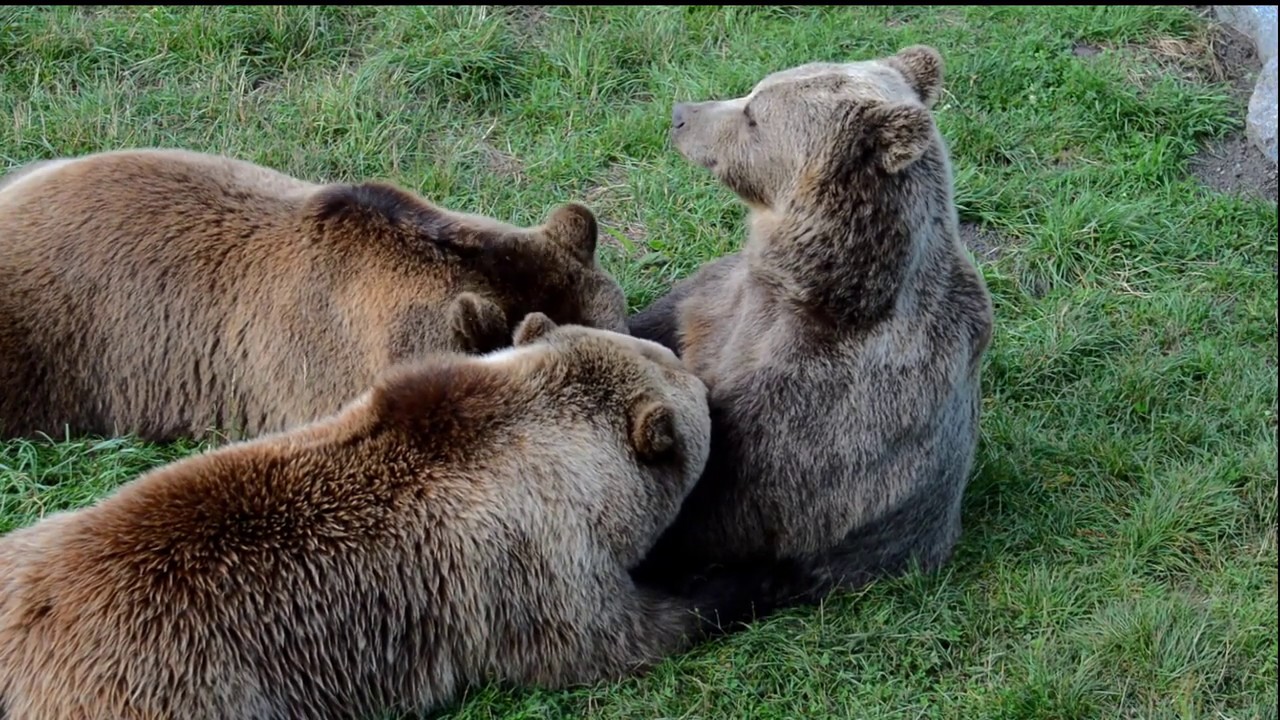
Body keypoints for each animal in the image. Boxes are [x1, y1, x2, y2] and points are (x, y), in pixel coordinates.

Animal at [0, 314, 775, 720]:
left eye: (664, 350)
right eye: (692, 382)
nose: (697, 371)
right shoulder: (529, 568)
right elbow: (615, 639)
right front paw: (740, 579)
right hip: (176, 693)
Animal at [628, 46, 996, 603]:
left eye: (754, 115)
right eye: (753, 91)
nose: (681, 114)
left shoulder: (827, 397)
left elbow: (727, 493)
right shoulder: (725, 298)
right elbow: (663, 321)